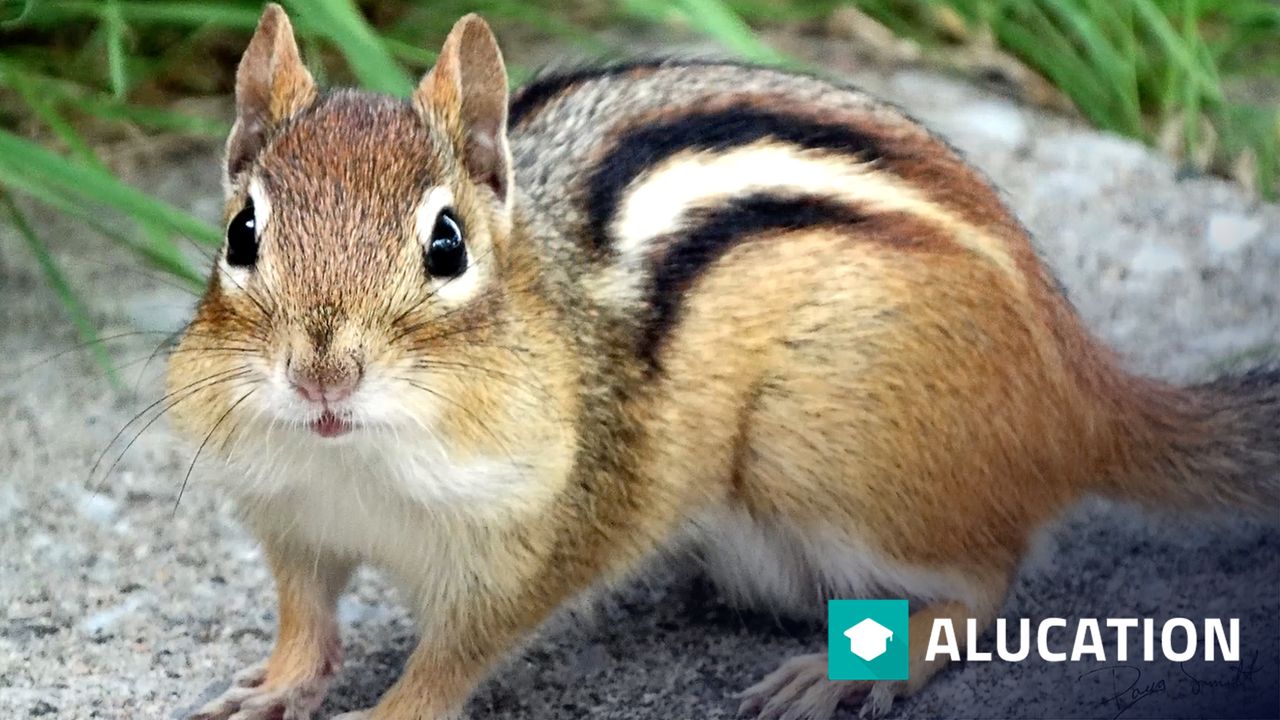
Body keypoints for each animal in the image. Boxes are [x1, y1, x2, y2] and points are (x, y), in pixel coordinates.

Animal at [167, 5, 1279, 720]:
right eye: (240, 234)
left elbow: (459, 654)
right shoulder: (291, 517)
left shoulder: (543, 533)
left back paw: (849, 669)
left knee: (984, 580)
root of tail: (1077, 381)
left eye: (447, 245)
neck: (353, 460)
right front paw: (270, 687)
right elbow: (305, 617)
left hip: (815, 452)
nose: (322, 376)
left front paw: (389, 709)